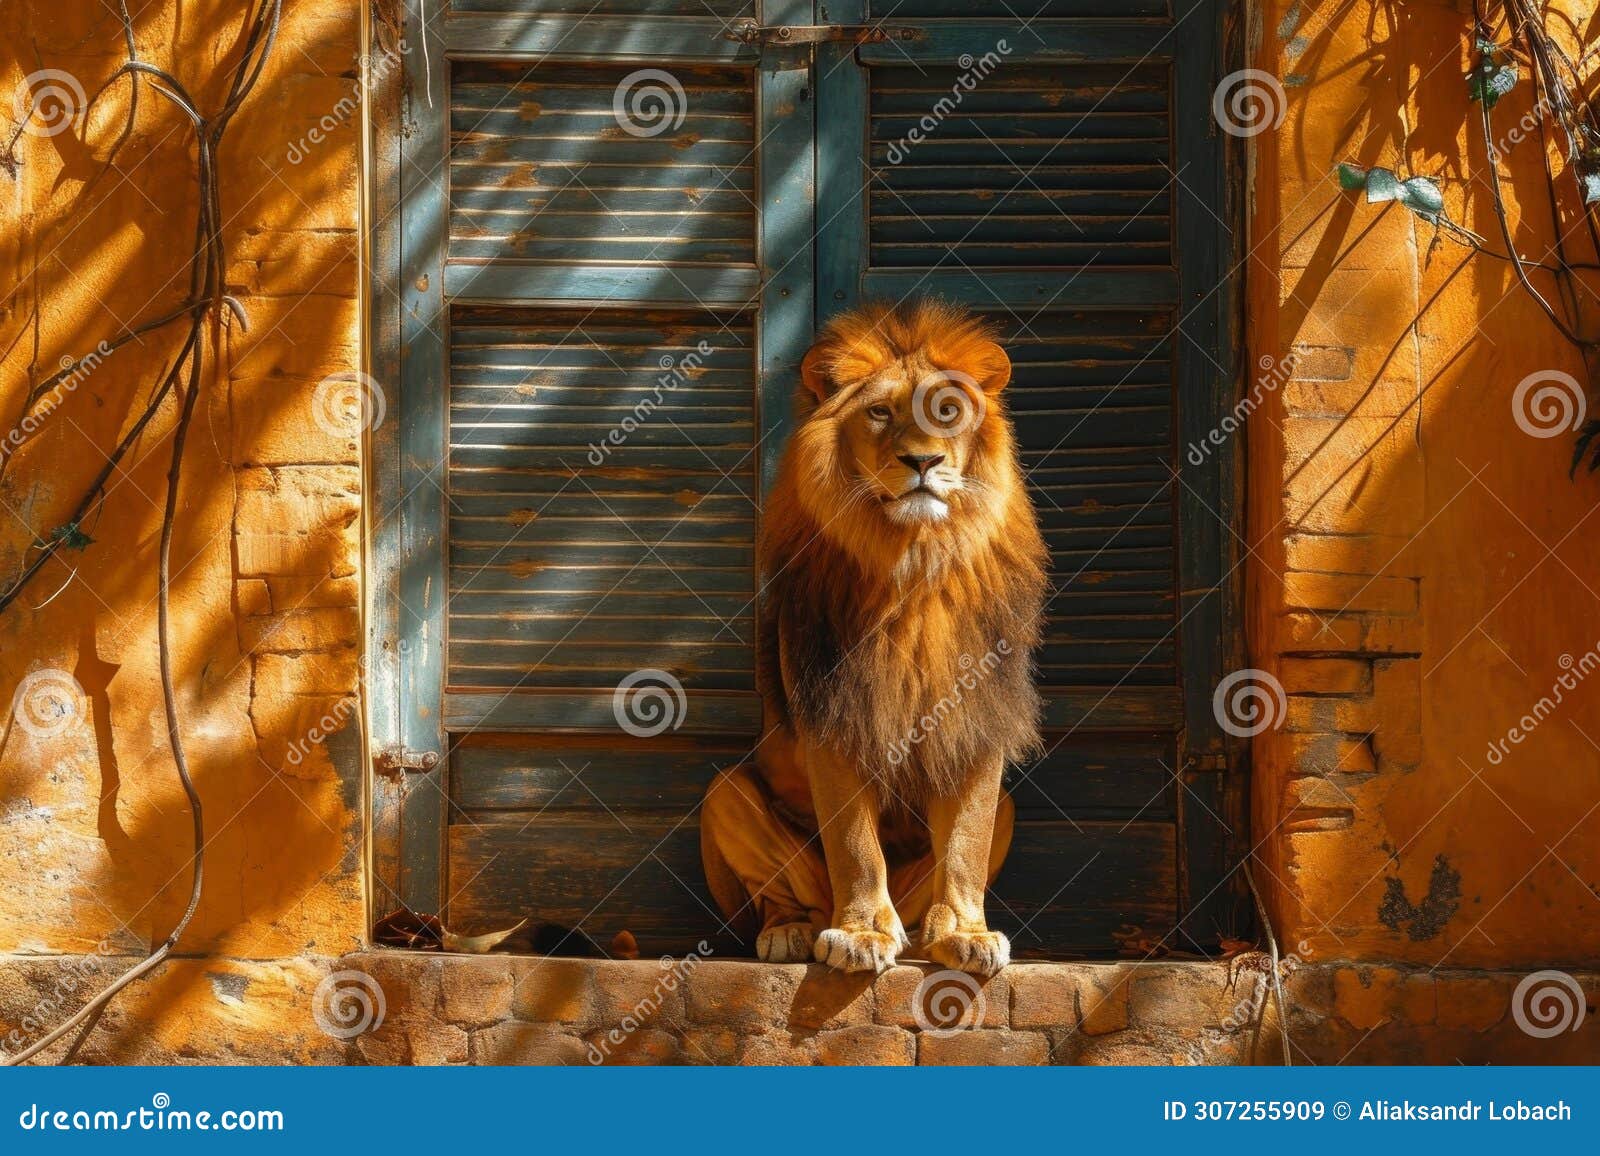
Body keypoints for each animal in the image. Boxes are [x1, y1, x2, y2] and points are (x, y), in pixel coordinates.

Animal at [700, 299, 1047, 976]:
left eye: (948, 412)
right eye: (881, 413)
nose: (923, 463)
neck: (913, 559)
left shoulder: (979, 715)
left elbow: (965, 841)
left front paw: (966, 933)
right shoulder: (833, 715)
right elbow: (856, 844)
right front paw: (861, 934)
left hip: (1008, 808)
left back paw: (924, 934)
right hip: (723, 794)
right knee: (785, 893)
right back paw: (796, 932)